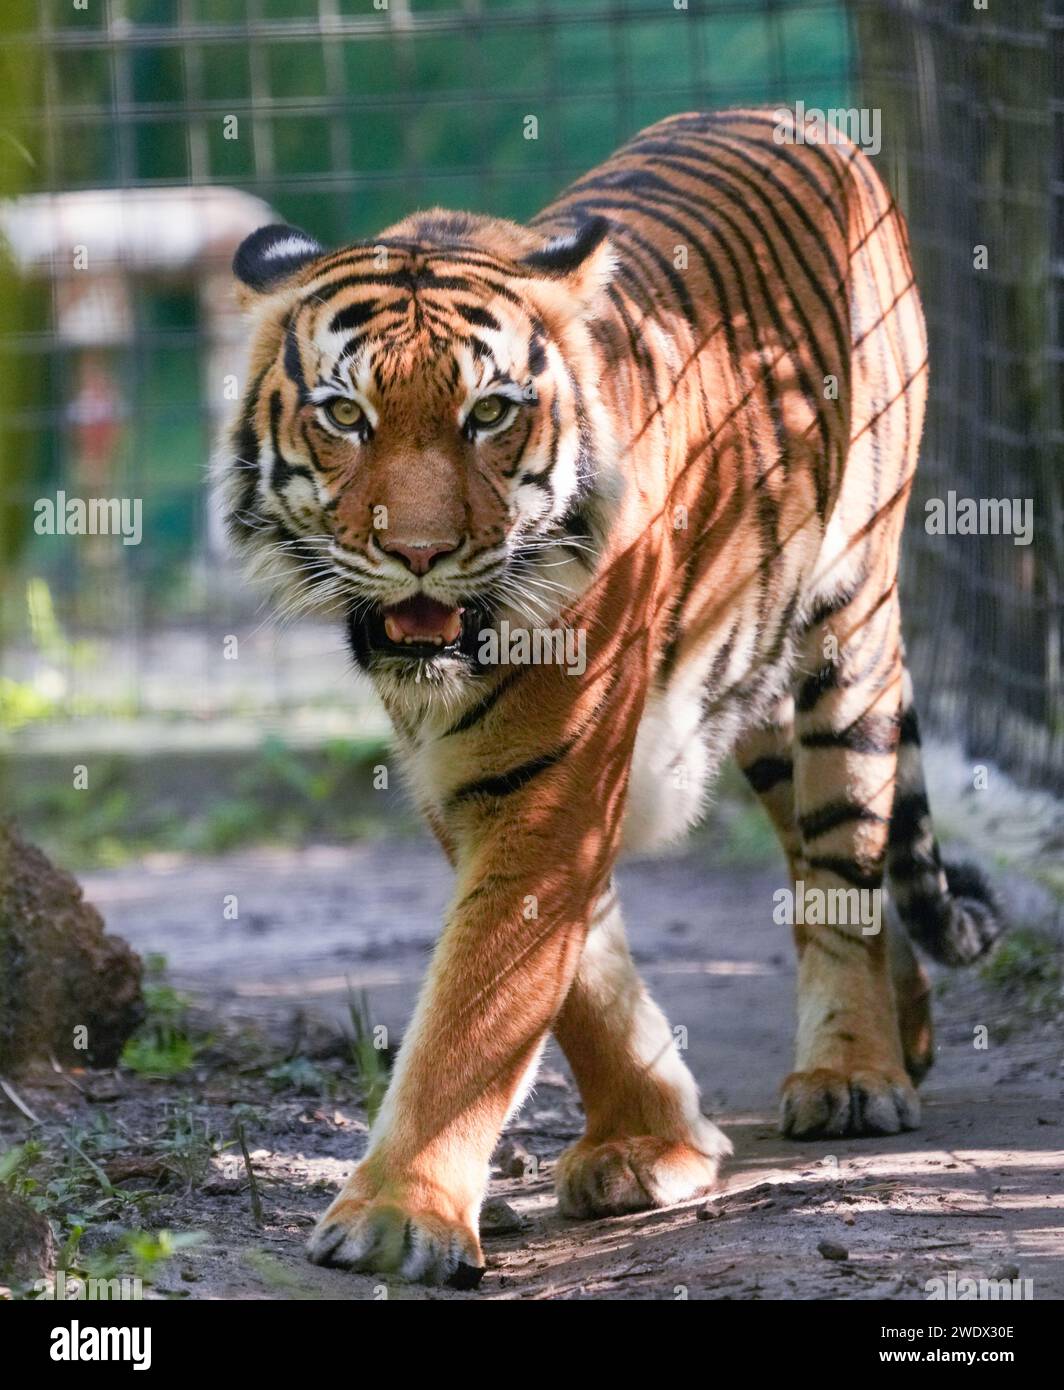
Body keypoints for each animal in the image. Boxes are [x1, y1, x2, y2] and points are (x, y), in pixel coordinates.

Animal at [217, 109, 1003, 1289]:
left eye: (489, 412)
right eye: (346, 416)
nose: (417, 554)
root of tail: (809, 121)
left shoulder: (549, 776)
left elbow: (478, 1009)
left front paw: (399, 1217)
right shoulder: (480, 775)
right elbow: (577, 978)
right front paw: (656, 1142)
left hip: (848, 628)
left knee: (844, 865)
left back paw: (853, 1076)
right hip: (754, 672)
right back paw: (902, 1035)